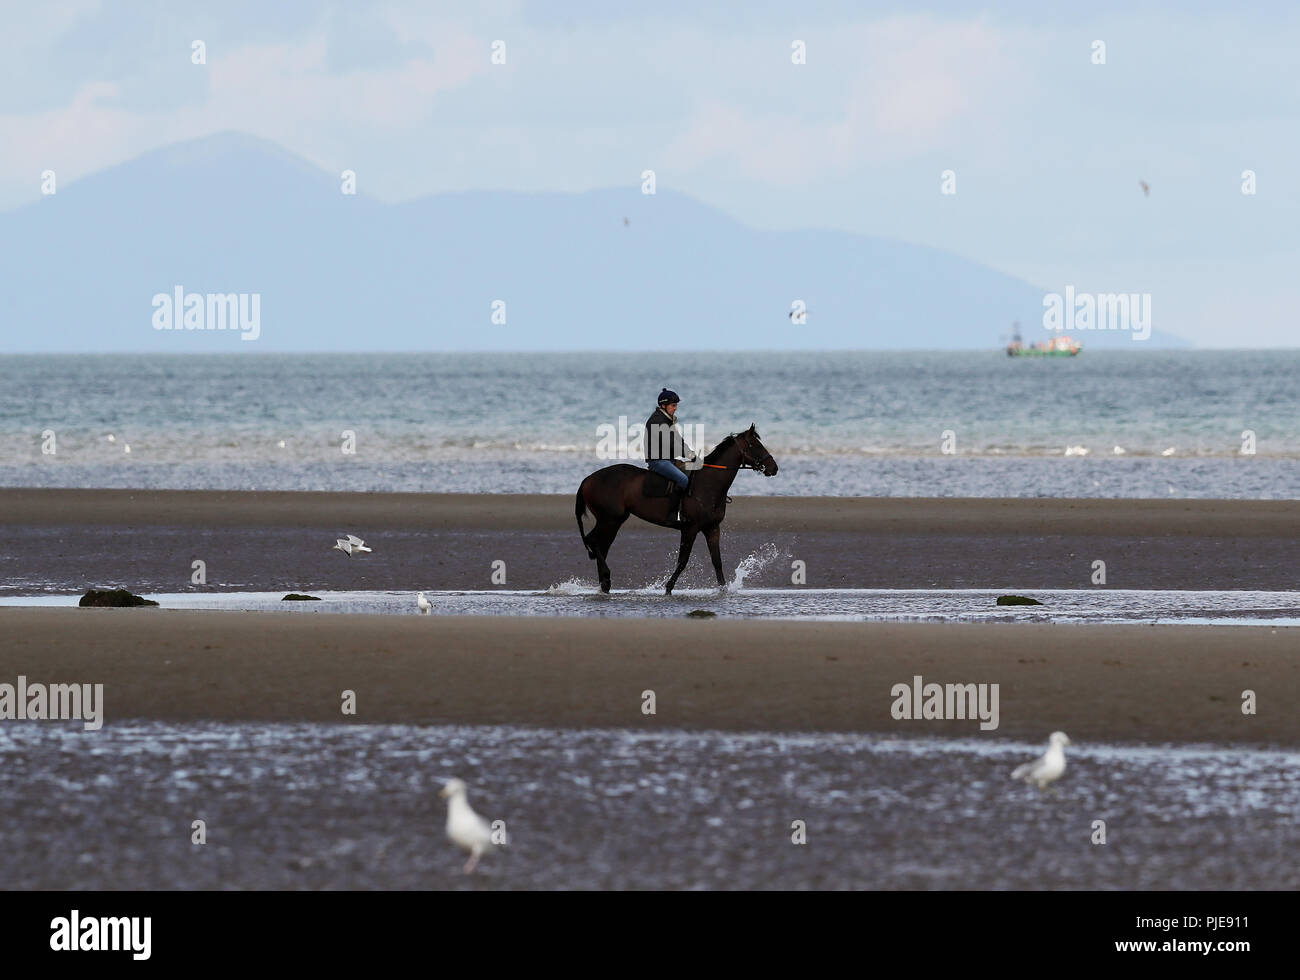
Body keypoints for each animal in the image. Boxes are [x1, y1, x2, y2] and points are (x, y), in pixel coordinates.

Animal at [574, 424, 778, 594]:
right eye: (755, 445)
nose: (774, 468)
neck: (708, 484)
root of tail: (588, 479)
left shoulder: (712, 528)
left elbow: (717, 561)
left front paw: (723, 589)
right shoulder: (690, 529)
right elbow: (682, 561)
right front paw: (668, 587)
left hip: (613, 521)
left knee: (601, 546)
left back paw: (604, 583)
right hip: (609, 520)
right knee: (593, 541)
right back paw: (606, 579)